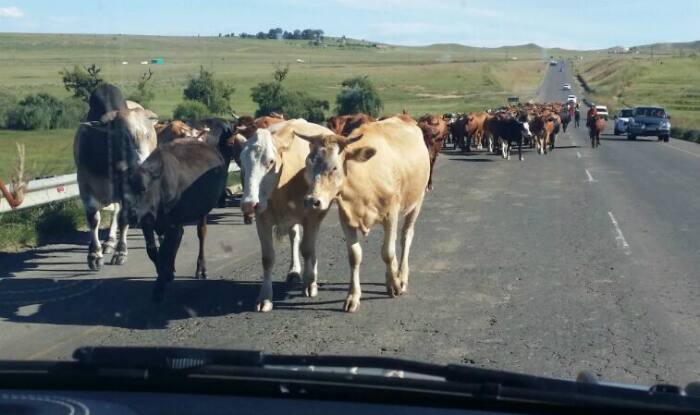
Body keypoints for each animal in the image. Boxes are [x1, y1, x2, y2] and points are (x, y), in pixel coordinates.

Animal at [75, 83, 157, 270]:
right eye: (124, 136)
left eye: (149, 135)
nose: (146, 167)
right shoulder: (85, 187)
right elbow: (94, 219)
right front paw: (94, 255)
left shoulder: (128, 192)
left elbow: (124, 219)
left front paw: (121, 252)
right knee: (114, 210)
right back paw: (109, 241)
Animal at [124, 141, 228, 302]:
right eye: (124, 191)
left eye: (143, 189)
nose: (131, 215)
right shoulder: (147, 224)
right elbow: (153, 251)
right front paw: (165, 274)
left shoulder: (171, 224)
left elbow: (165, 251)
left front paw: (159, 289)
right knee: (178, 237)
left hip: (202, 213)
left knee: (201, 234)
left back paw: (201, 269)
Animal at [239, 119, 335, 312]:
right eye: (241, 163)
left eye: (270, 162)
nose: (248, 204)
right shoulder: (262, 220)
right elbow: (267, 258)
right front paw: (265, 297)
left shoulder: (312, 217)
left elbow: (307, 249)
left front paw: (310, 282)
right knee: (294, 236)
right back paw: (294, 271)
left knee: (309, 244)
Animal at [294, 117, 430, 313]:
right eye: (308, 163)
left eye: (334, 167)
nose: (312, 200)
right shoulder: (346, 218)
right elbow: (354, 256)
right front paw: (353, 296)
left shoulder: (391, 213)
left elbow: (387, 252)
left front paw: (395, 285)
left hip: (417, 201)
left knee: (406, 236)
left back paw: (401, 276)